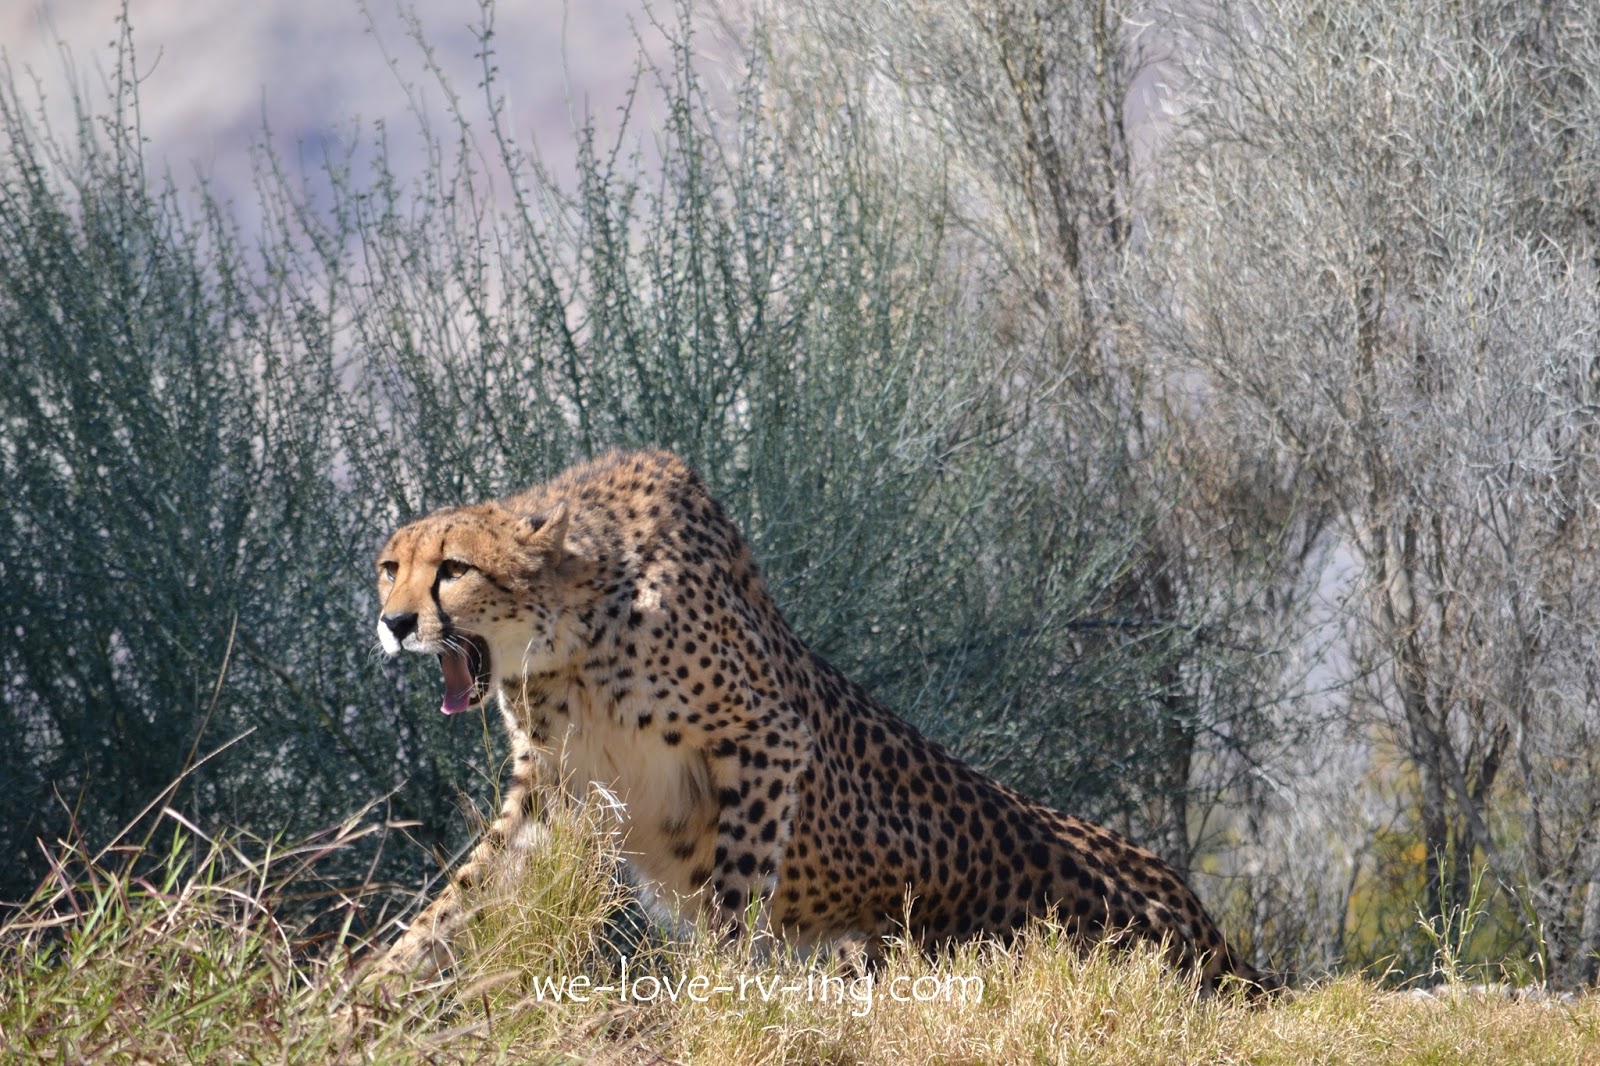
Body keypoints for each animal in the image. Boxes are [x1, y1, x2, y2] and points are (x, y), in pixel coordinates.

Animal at [367, 448, 1264, 994]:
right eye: (389, 567)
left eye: (453, 568)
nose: (395, 623)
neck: (573, 633)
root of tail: (1213, 933)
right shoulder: (554, 791)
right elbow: (455, 902)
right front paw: (366, 996)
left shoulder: (768, 739)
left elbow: (734, 899)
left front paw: (716, 997)